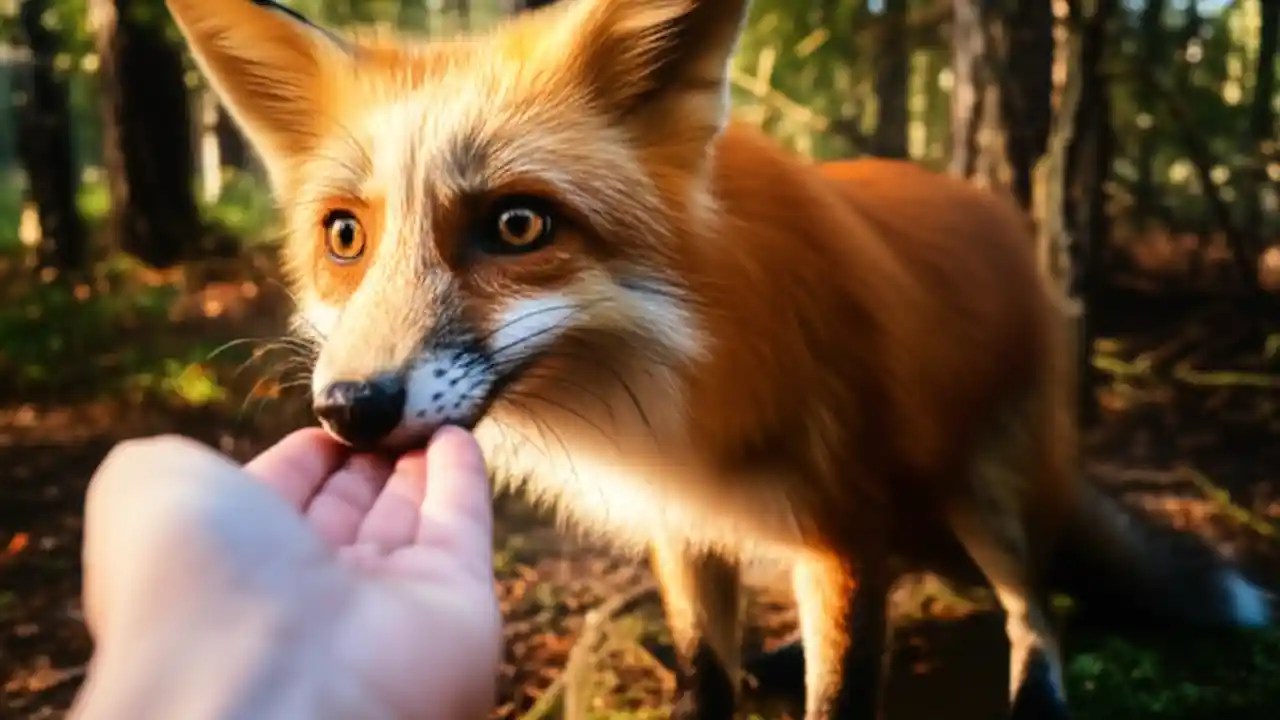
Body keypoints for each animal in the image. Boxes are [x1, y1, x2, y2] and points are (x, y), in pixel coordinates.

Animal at [165, 1, 1273, 718]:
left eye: (518, 225)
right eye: (345, 237)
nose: (349, 409)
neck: (672, 389)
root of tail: (989, 207)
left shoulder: (842, 529)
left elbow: (848, 690)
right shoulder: (685, 527)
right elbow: (705, 676)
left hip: (982, 488)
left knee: (1029, 601)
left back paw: (1034, 692)